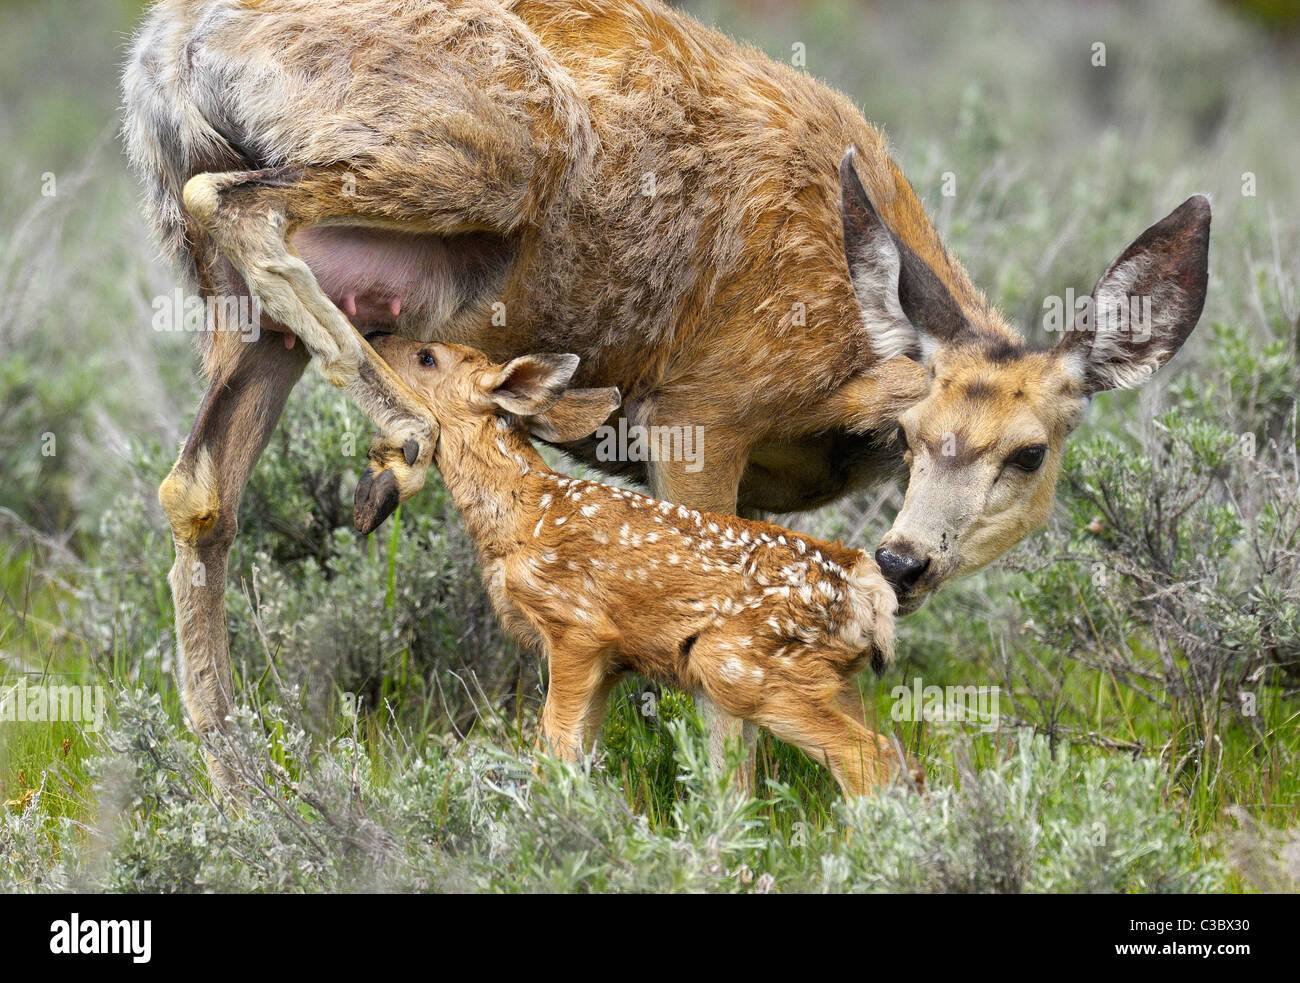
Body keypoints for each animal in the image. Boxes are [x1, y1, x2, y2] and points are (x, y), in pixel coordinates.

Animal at [364, 335, 909, 796]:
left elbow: (552, 750)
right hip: (828, 676)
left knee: (868, 758)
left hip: (742, 663)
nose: (376, 336)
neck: (524, 518)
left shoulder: (576, 627)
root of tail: (867, 587)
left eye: (428, 357)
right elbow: (577, 750)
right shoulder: (610, 662)